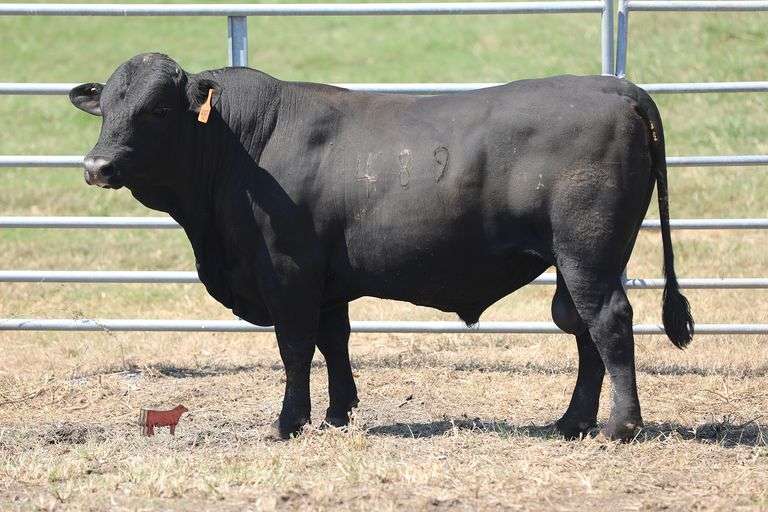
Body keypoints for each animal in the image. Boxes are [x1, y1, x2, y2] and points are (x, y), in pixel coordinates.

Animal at [70, 53, 693, 441]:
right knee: (580, 326)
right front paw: (338, 412)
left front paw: (289, 422)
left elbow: (295, 348)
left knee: (607, 321)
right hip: (574, 262)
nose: (96, 166)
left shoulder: (287, 273)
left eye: (157, 108)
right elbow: (334, 342)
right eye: (107, 107)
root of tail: (616, 86)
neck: (239, 148)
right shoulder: (326, 282)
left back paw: (619, 426)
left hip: (589, 254)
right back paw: (572, 422)